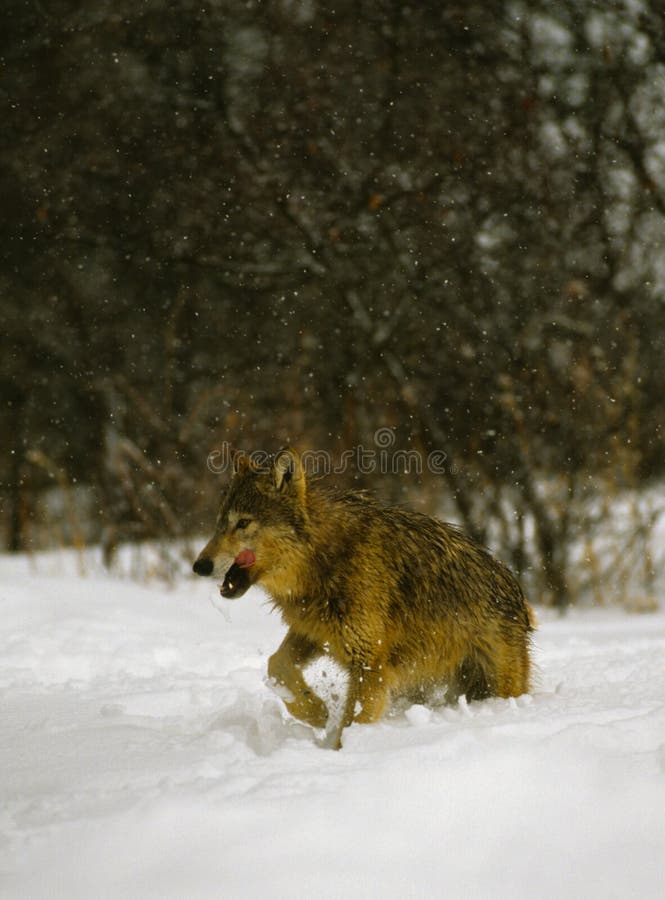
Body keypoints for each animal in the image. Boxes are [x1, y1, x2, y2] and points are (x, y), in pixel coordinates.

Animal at [193, 448, 533, 748]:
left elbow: (353, 724)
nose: (199, 566)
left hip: (493, 685)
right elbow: (276, 667)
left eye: (243, 523)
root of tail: (521, 599)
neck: (324, 558)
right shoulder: (313, 634)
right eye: (219, 524)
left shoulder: (369, 665)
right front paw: (317, 713)